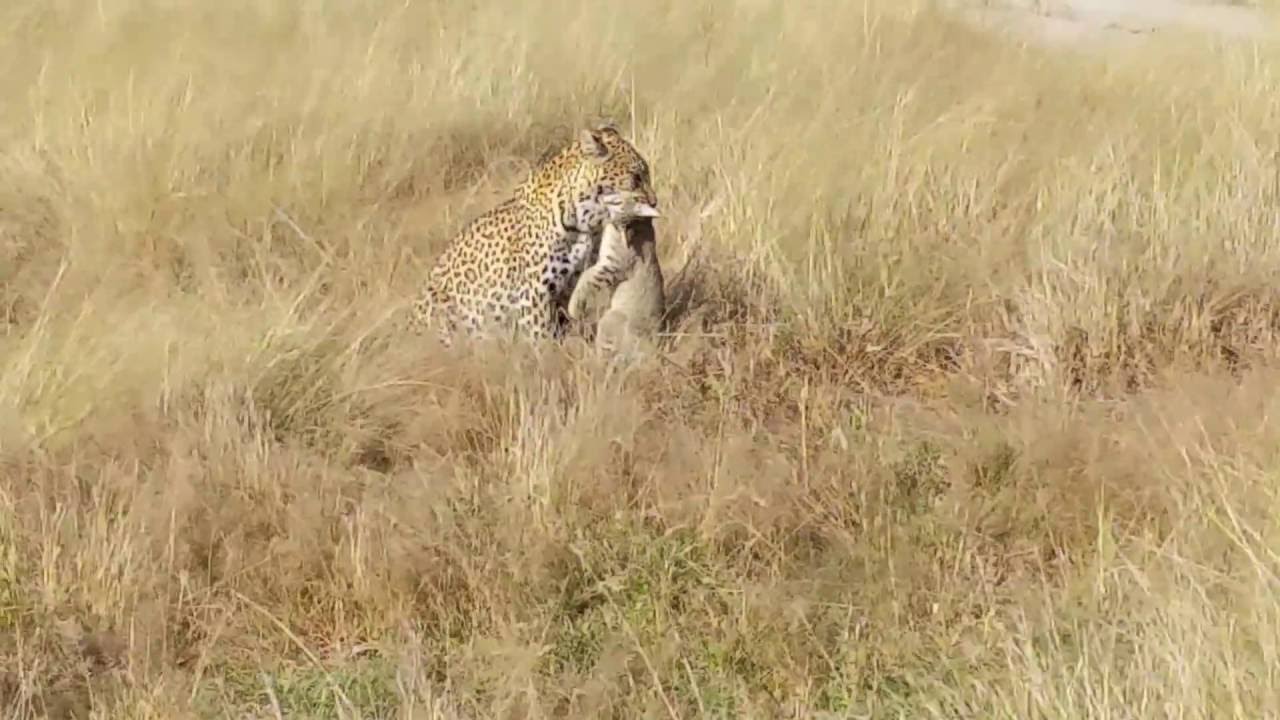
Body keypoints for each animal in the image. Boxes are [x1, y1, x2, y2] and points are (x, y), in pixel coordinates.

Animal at [408, 123, 657, 346]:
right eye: (635, 177)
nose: (655, 202)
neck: (582, 223)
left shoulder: (568, 287)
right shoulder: (535, 293)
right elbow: (542, 339)